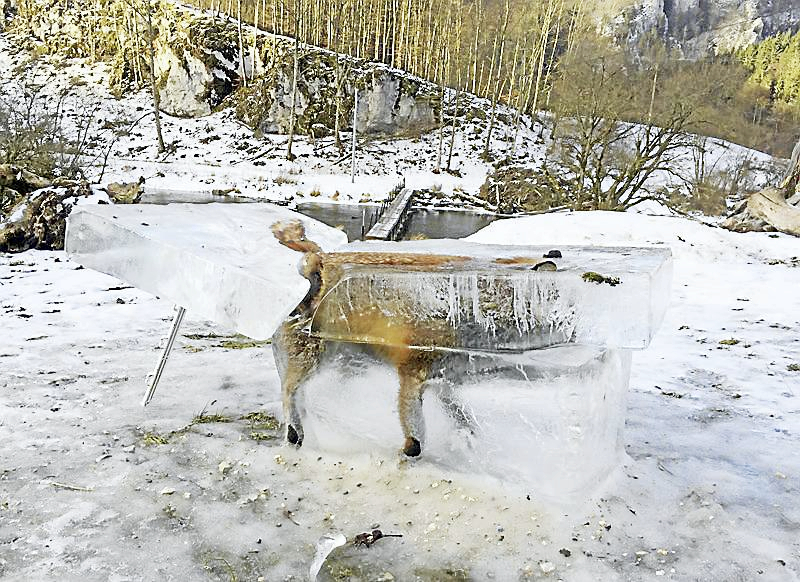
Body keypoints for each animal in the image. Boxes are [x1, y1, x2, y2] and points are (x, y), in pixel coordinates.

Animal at [270, 219, 556, 457]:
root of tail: (319, 257)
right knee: (289, 390)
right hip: (315, 356)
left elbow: (461, 416)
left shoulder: (444, 379)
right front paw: (409, 452)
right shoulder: (413, 372)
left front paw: (467, 439)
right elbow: (416, 434)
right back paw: (296, 432)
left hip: (342, 359)